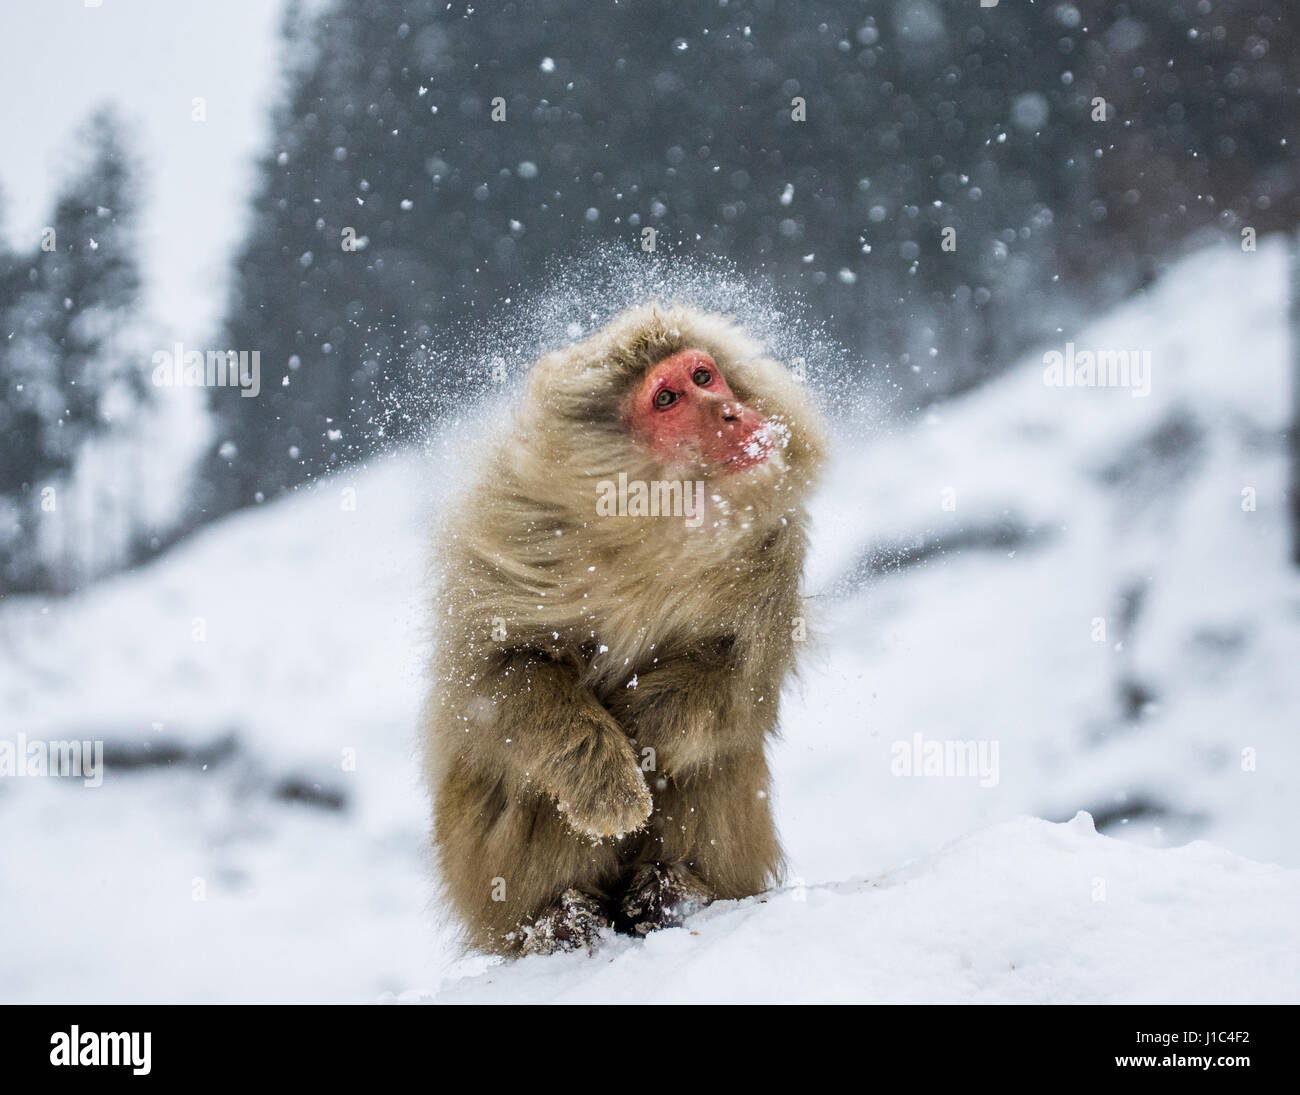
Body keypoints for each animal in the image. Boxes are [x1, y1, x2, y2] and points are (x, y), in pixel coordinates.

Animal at [421, 303, 827, 956]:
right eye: (666, 399)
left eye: (705, 377)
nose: (732, 412)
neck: (660, 524)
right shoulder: (515, 528)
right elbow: (497, 672)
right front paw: (609, 776)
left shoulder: (776, 552)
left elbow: (740, 679)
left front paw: (641, 725)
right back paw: (558, 918)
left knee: (716, 755)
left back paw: (672, 890)